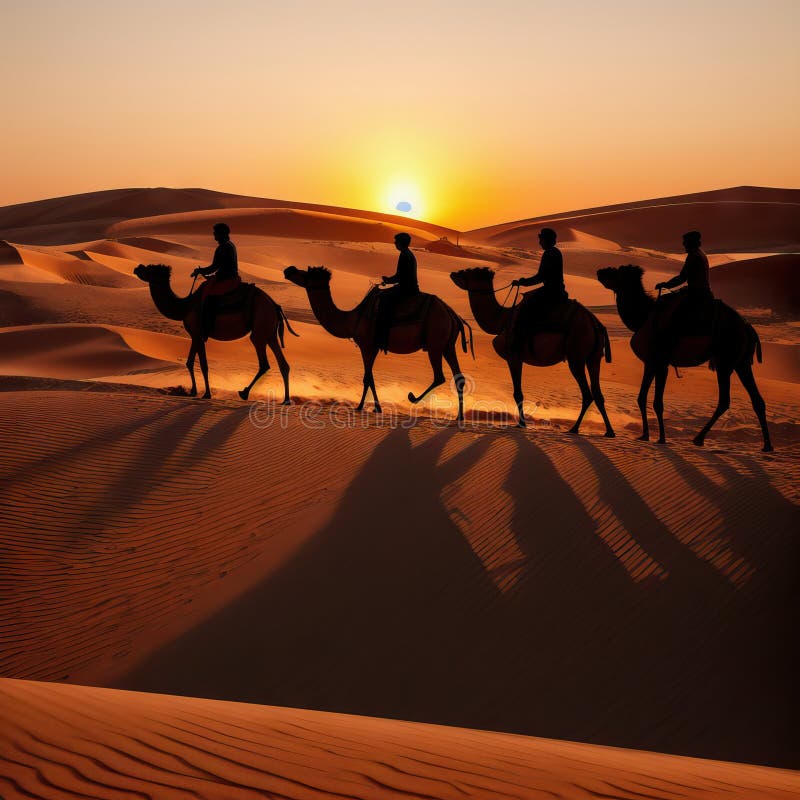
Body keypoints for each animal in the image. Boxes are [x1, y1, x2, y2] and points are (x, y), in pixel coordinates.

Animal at [134, 264, 296, 402]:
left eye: (150, 269)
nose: (137, 268)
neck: (185, 307)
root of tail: (275, 305)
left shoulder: (198, 334)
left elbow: (203, 364)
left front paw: (206, 394)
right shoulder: (195, 335)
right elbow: (189, 362)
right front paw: (192, 391)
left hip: (259, 331)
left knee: (264, 363)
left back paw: (244, 393)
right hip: (269, 333)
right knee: (283, 364)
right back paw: (286, 400)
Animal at [284, 266, 472, 420]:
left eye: (305, 273)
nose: (289, 270)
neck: (353, 320)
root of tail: (453, 316)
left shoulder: (367, 346)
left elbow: (367, 378)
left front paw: (364, 407)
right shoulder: (372, 348)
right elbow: (370, 378)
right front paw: (373, 407)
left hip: (435, 344)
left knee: (439, 376)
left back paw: (412, 398)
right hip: (447, 345)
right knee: (459, 377)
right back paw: (459, 417)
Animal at [450, 267, 615, 435]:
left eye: (465, 272)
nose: (453, 274)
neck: (503, 319)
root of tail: (595, 323)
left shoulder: (514, 356)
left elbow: (518, 393)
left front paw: (521, 423)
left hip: (576, 357)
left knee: (587, 393)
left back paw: (574, 429)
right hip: (593, 358)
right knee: (597, 393)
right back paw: (609, 431)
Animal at [596, 264, 772, 451]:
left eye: (616, 272)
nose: (600, 271)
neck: (642, 317)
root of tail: (748, 328)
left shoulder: (660, 363)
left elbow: (658, 402)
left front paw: (661, 438)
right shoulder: (650, 363)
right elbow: (641, 397)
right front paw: (644, 435)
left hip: (725, 362)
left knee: (724, 400)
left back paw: (698, 439)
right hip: (741, 363)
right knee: (756, 400)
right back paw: (767, 445)